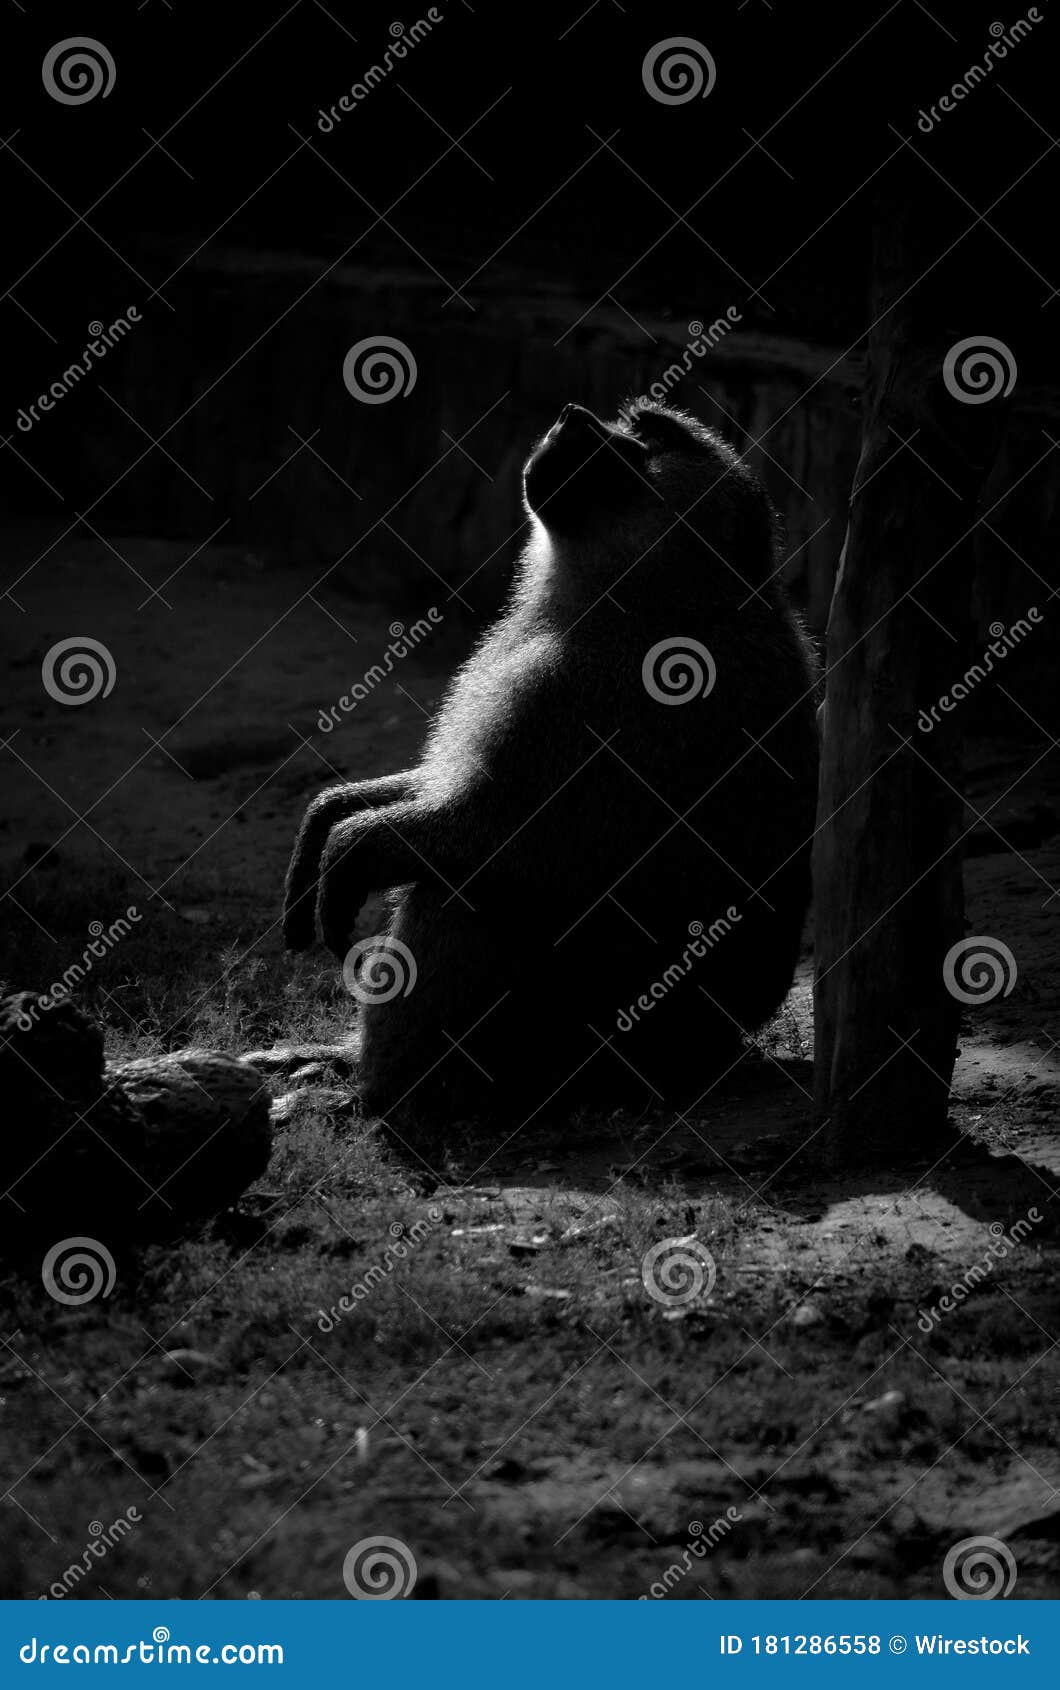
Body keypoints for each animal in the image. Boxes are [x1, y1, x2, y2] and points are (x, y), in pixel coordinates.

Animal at [283, 401, 819, 1133]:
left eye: (646, 443)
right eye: (638, 422)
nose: (574, 416)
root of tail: (716, 1050)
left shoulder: (581, 696)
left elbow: (505, 838)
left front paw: (350, 850)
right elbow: (441, 790)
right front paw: (326, 820)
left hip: (587, 1038)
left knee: (458, 896)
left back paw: (383, 1097)